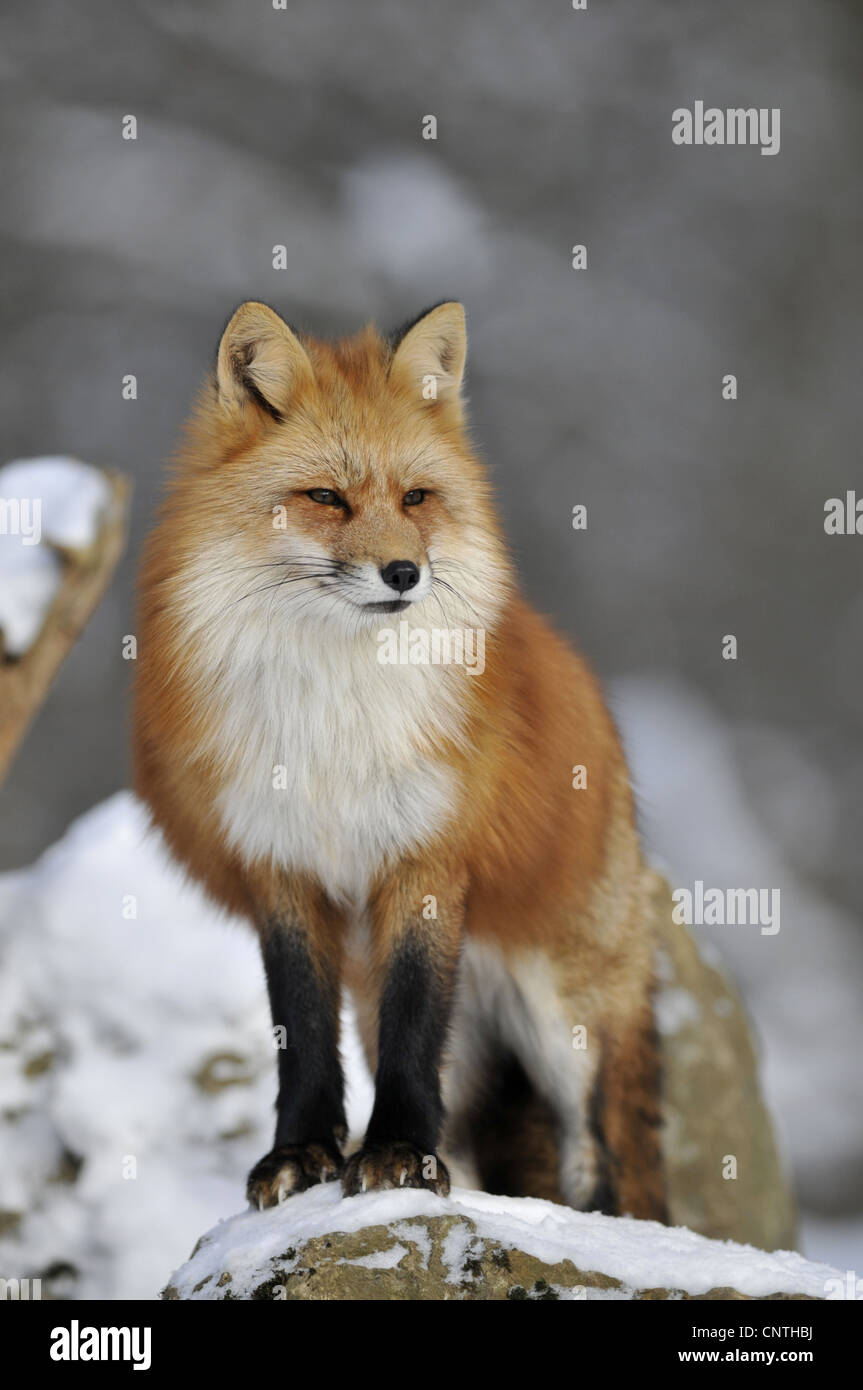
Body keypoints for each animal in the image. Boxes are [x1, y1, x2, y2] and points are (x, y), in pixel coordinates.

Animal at [133, 299, 667, 1220]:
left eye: (416, 497)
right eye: (325, 497)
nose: (404, 572)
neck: (334, 712)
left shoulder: (426, 861)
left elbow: (414, 1027)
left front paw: (396, 1156)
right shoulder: (281, 866)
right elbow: (300, 1032)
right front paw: (301, 1155)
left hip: (569, 1018)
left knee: (598, 1161)